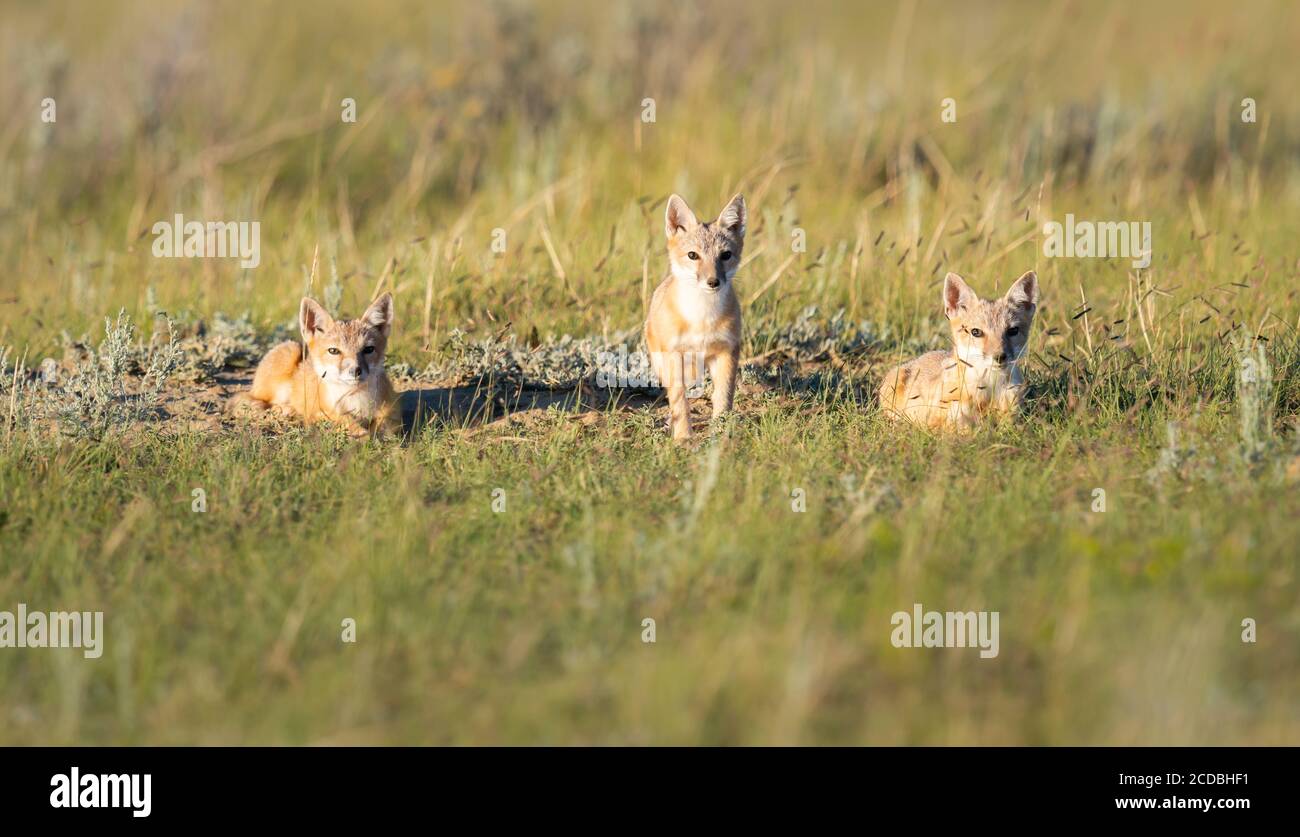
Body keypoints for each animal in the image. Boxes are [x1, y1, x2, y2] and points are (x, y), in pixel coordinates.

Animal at [230, 293, 401, 437]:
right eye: (333, 351)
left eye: (368, 349)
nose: (355, 371)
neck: (356, 398)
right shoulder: (322, 411)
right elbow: (346, 421)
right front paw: (363, 435)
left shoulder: (391, 411)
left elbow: (385, 425)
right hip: (290, 351)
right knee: (258, 402)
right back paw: (286, 409)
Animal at [644, 192, 747, 441]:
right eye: (693, 255)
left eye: (725, 255)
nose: (713, 282)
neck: (703, 317)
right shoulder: (674, 357)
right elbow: (680, 404)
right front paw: (683, 438)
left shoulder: (728, 352)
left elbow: (724, 399)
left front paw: (720, 434)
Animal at [879, 270, 1039, 432]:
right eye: (976, 332)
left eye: (1013, 331)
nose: (1000, 357)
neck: (989, 391)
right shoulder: (941, 421)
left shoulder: (1014, 415)